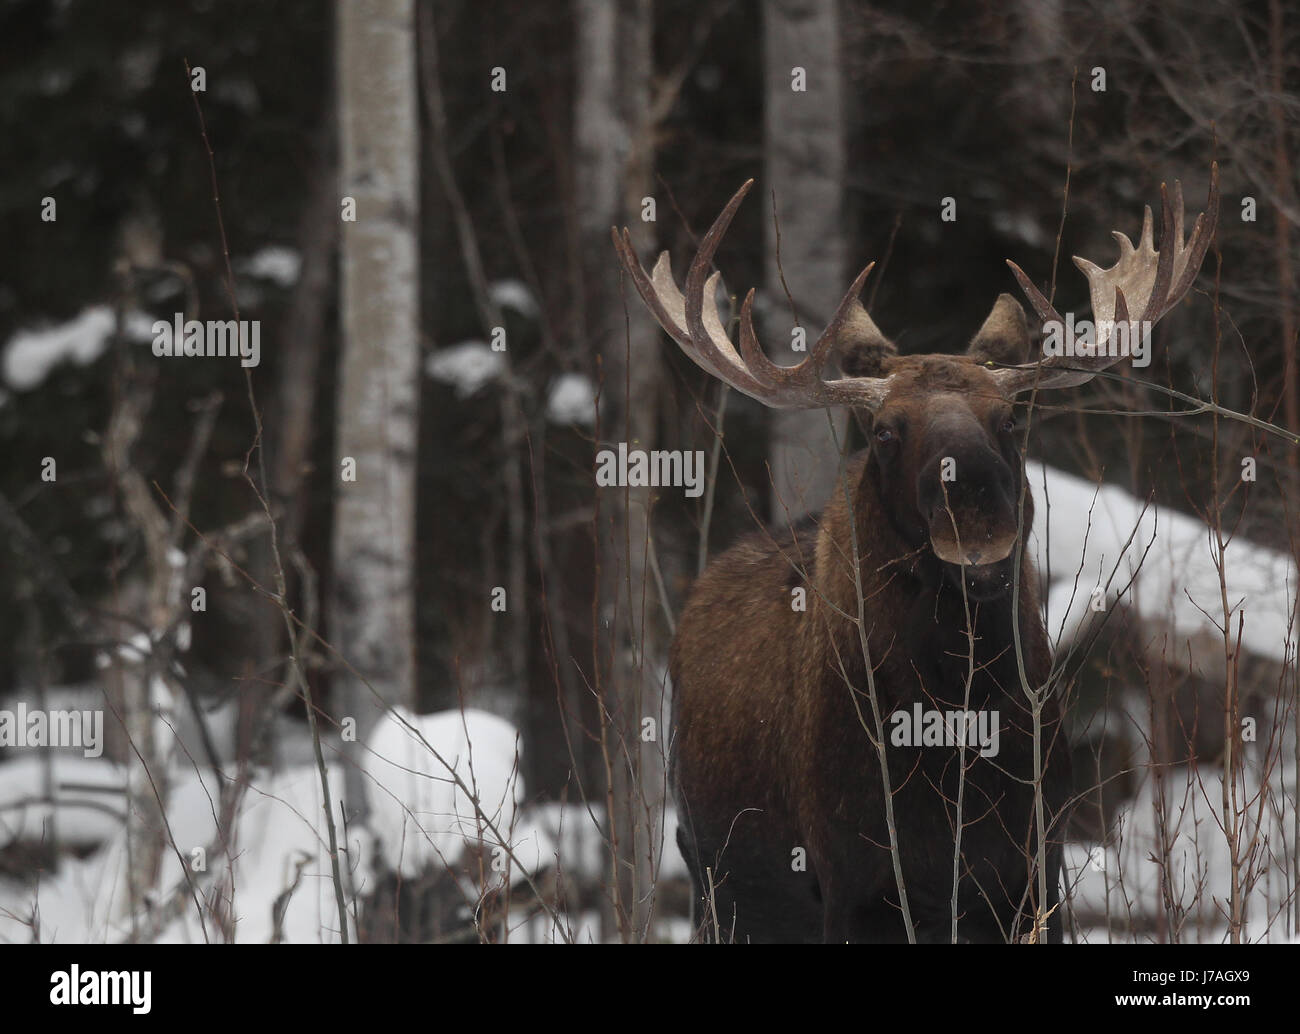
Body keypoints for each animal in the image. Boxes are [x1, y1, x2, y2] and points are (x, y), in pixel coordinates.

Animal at [611, 165, 1219, 943]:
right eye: (885, 430)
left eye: (1010, 417)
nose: (977, 512)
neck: (957, 719)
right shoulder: (851, 879)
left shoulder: (1034, 867)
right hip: (715, 880)